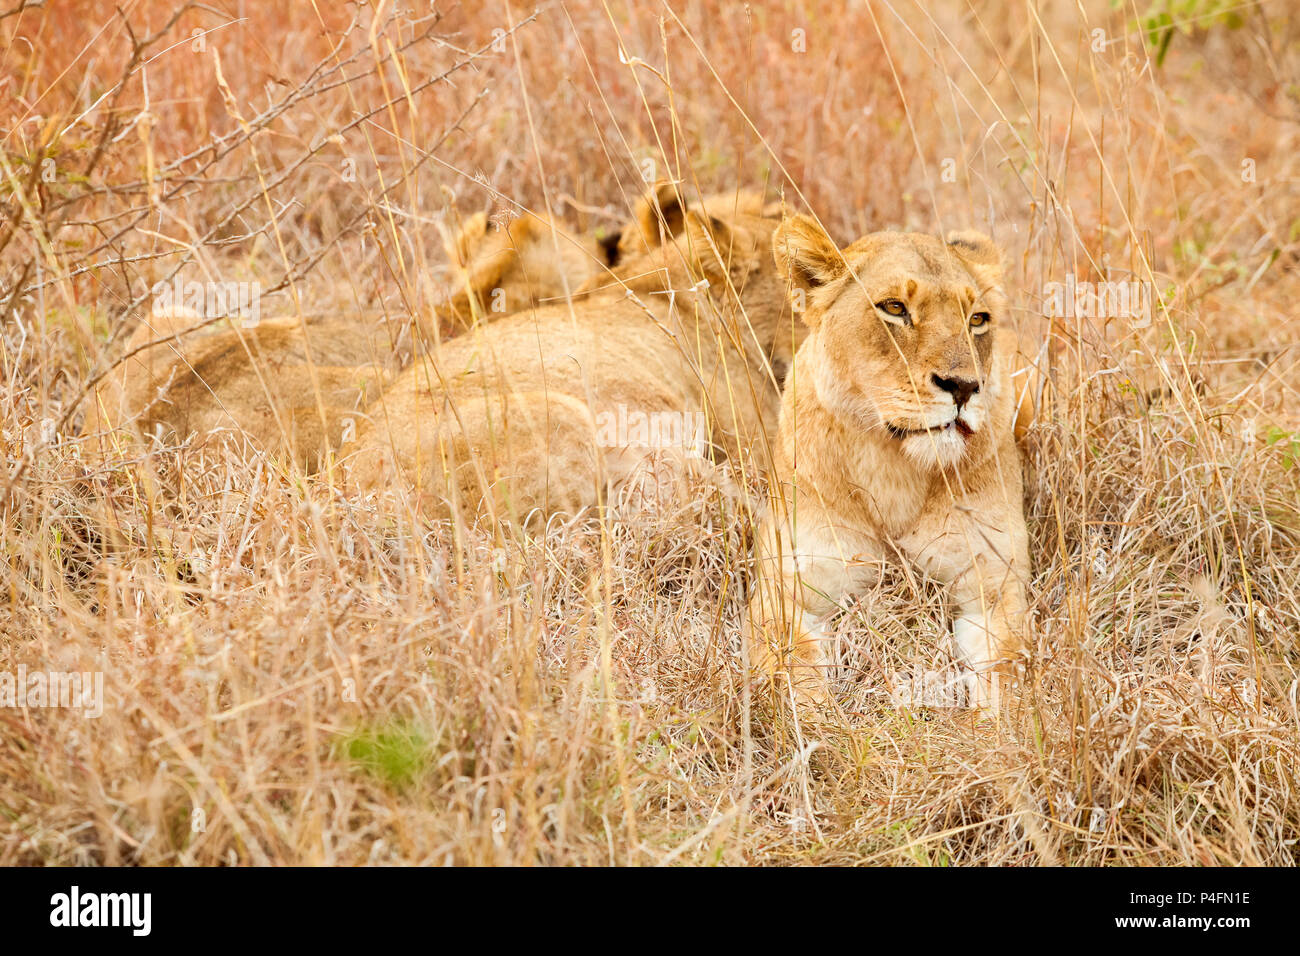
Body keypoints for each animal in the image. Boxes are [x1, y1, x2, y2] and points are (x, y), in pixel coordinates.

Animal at [748, 216, 1031, 714]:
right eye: (895, 308)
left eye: (977, 319)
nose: (963, 386)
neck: (894, 465)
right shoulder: (787, 587)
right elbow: (793, 673)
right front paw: (820, 725)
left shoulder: (997, 586)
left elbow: (1006, 677)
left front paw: (998, 731)